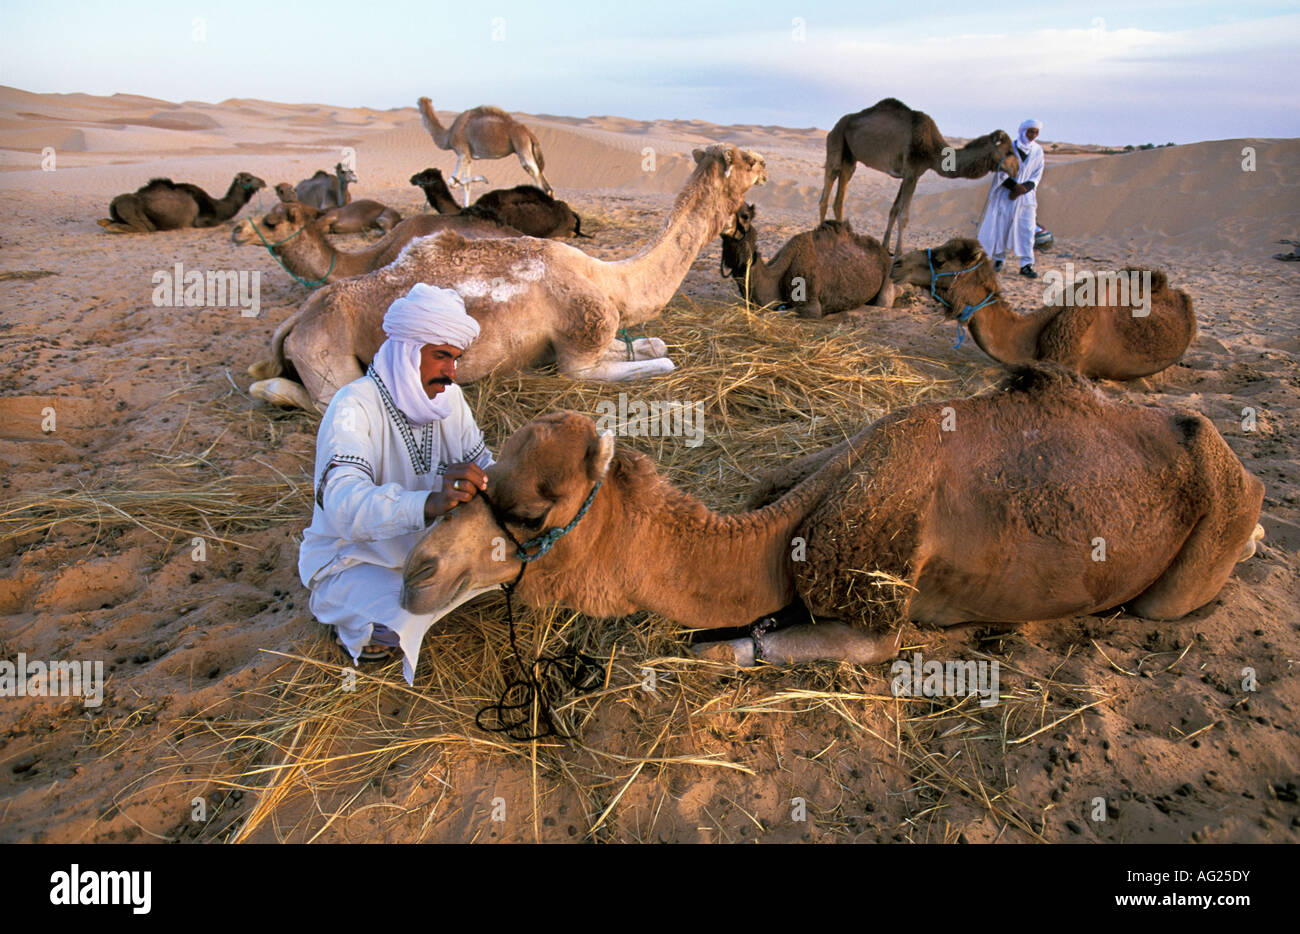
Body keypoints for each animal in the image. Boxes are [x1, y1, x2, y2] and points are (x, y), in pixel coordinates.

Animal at [98, 173, 266, 233]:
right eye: (248, 178)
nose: (263, 182)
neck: (218, 207)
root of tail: (115, 202)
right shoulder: (203, 222)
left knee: (107, 221)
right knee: (146, 228)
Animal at [400, 365, 1265, 669]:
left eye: (531, 510)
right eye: (481, 476)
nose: (416, 571)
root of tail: (1240, 468)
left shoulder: (877, 612)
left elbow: (741, 651)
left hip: (1188, 564)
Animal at [418, 97, 553, 205]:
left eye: (417, 105)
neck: (448, 135)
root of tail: (530, 134)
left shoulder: (462, 152)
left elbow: (451, 181)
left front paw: (484, 178)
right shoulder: (468, 157)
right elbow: (466, 186)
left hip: (521, 145)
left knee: (536, 177)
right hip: (531, 152)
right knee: (546, 184)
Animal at [818, 99, 1019, 254]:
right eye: (1009, 151)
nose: (1017, 168)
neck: (934, 150)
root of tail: (836, 125)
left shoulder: (909, 174)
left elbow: (894, 209)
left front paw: (886, 248)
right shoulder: (912, 173)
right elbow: (904, 216)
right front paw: (898, 254)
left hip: (850, 157)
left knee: (840, 195)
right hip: (836, 139)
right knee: (827, 191)